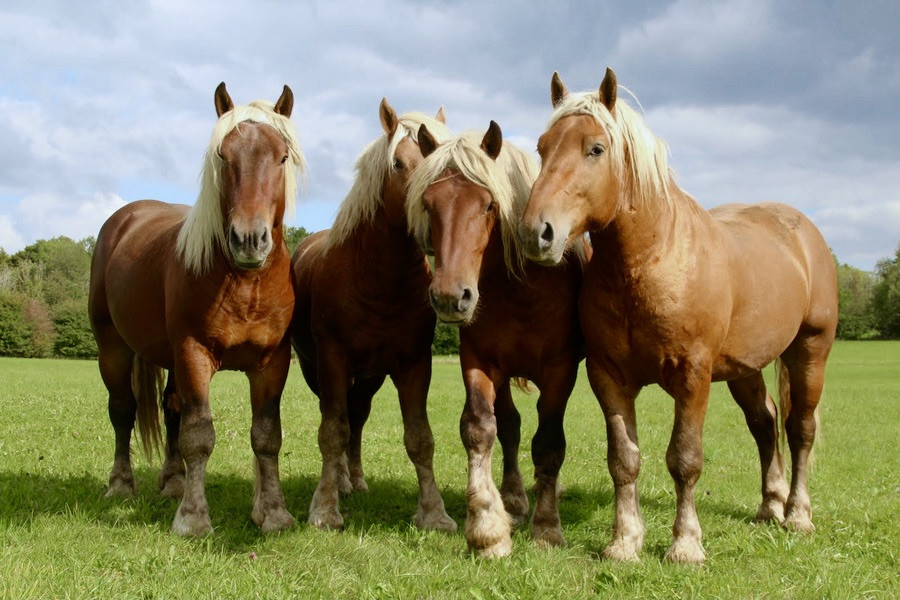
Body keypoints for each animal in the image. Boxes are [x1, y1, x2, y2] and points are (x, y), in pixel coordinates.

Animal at [88, 83, 305, 536]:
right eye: (224, 155)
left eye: (281, 157)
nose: (249, 239)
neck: (244, 283)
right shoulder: (194, 352)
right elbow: (199, 435)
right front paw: (193, 517)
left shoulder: (272, 363)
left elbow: (266, 436)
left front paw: (273, 513)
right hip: (112, 348)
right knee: (122, 411)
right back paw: (121, 484)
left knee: (171, 410)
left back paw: (173, 481)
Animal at [291, 99, 457, 532]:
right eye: (399, 163)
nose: (436, 223)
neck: (379, 280)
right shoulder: (332, 360)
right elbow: (331, 431)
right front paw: (325, 509)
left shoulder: (414, 364)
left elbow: (420, 437)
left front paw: (434, 512)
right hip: (318, 372)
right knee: (340, 420)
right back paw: (340, 485)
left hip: (369, 378)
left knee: (358, 421)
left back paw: (355, 481)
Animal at [406, 121, 585, 557]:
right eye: (429, 205)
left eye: (489, 205)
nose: (451, 296)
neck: (521, 288)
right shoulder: (480, 360)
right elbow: (479, 429)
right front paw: (488, 527)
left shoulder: (561, 370)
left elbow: (549, 444)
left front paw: (547, 527)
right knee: (510, 427)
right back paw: (515, 499)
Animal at [519, 68, 838, 563]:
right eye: (542, 146)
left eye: (596, 148)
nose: (538, 233)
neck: (650, 261)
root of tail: (805, 232)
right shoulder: (608, 376)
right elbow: (624, 460)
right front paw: (624, 541)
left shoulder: (692, 375)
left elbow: (685, 459)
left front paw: (685, 544)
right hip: (745, 367)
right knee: (765, 425)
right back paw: (770, 505)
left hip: (811, 351)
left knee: (799, 429)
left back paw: (798, 514)